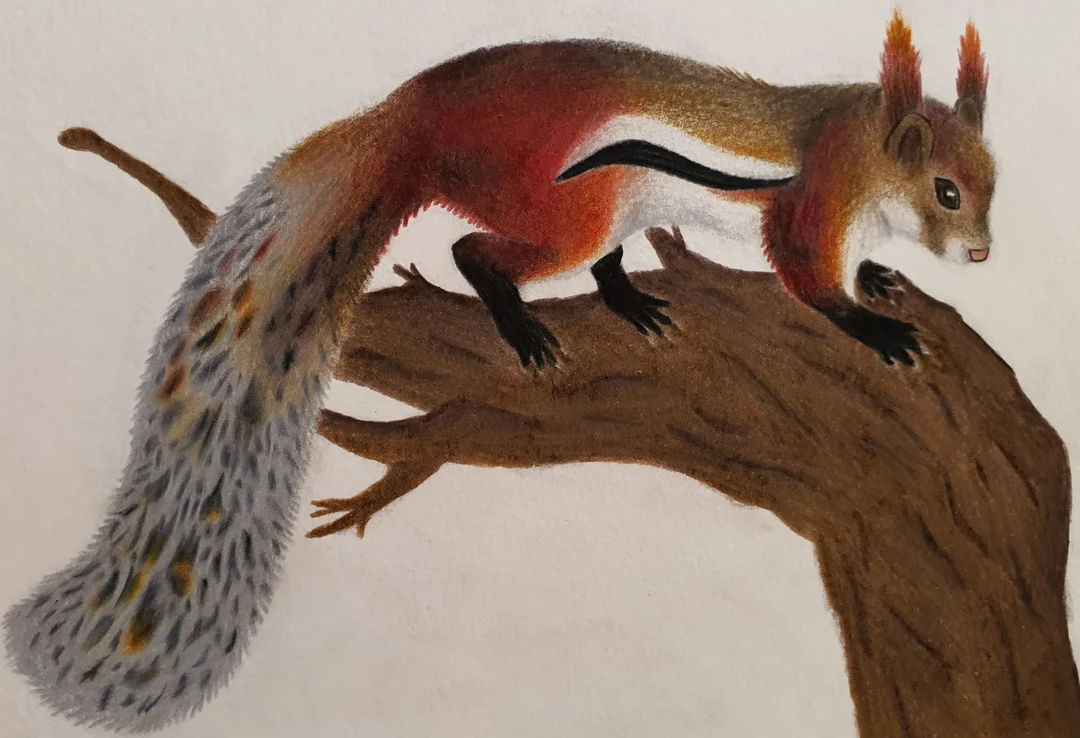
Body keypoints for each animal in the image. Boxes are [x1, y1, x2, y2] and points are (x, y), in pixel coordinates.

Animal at [4, 10, 993, 732]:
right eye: (946, 191)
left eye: (992, 180)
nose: (982, 253)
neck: (857, 147)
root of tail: (412, 119)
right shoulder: (808, 208)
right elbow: (806, 280)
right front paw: (877, 327)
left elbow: (852, 270)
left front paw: (882, 280)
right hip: (569, 207)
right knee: (476, 251)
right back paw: (523, 325)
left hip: (611, 206)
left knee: (595, 264)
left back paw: (630, 303)